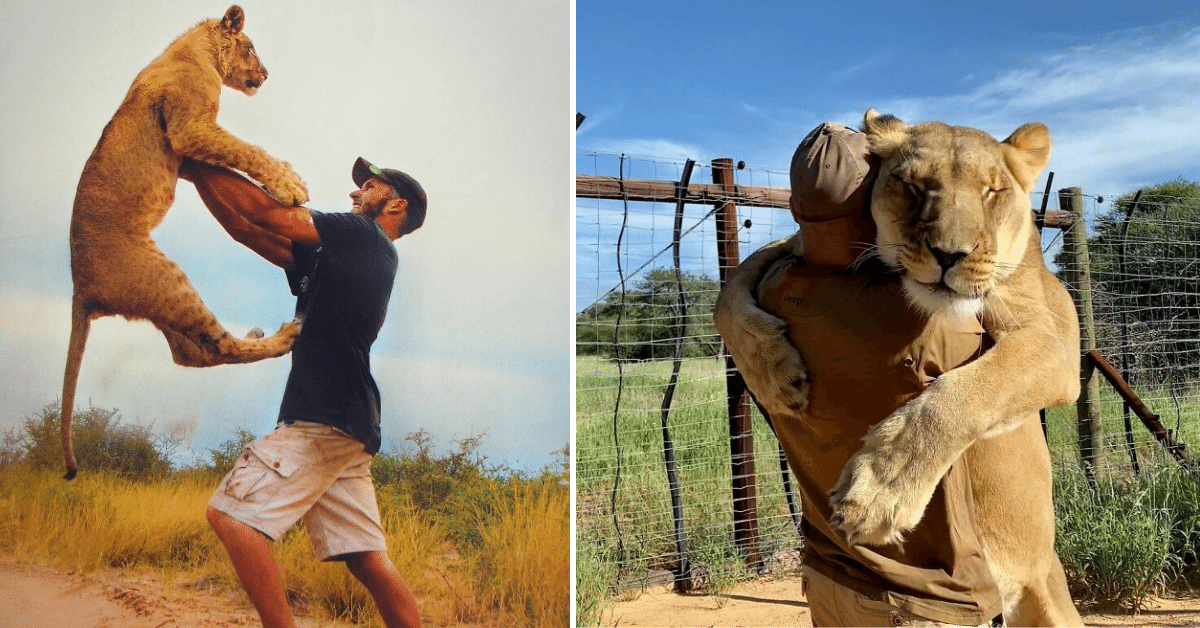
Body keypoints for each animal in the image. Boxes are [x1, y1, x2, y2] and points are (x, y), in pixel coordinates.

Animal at [61, 6, 308, 480]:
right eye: (251, 47)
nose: (266, 75)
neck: (196, 53)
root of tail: (81, 287)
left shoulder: (191, 145)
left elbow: (235, 157)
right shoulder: (191, 129)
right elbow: (246, 150)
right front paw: (291, 184)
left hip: (162, 301)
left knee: (192, 354)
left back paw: (254, 332)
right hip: (167, 280)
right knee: (218, 347)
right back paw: (283, 337)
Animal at [714, 110, 1082, 625]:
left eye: (992, 192)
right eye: (911, 185)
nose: (949, 255)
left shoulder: (1056, 342)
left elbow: (966, 392)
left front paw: (879, 491)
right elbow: (731, 289)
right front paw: (776, 376)